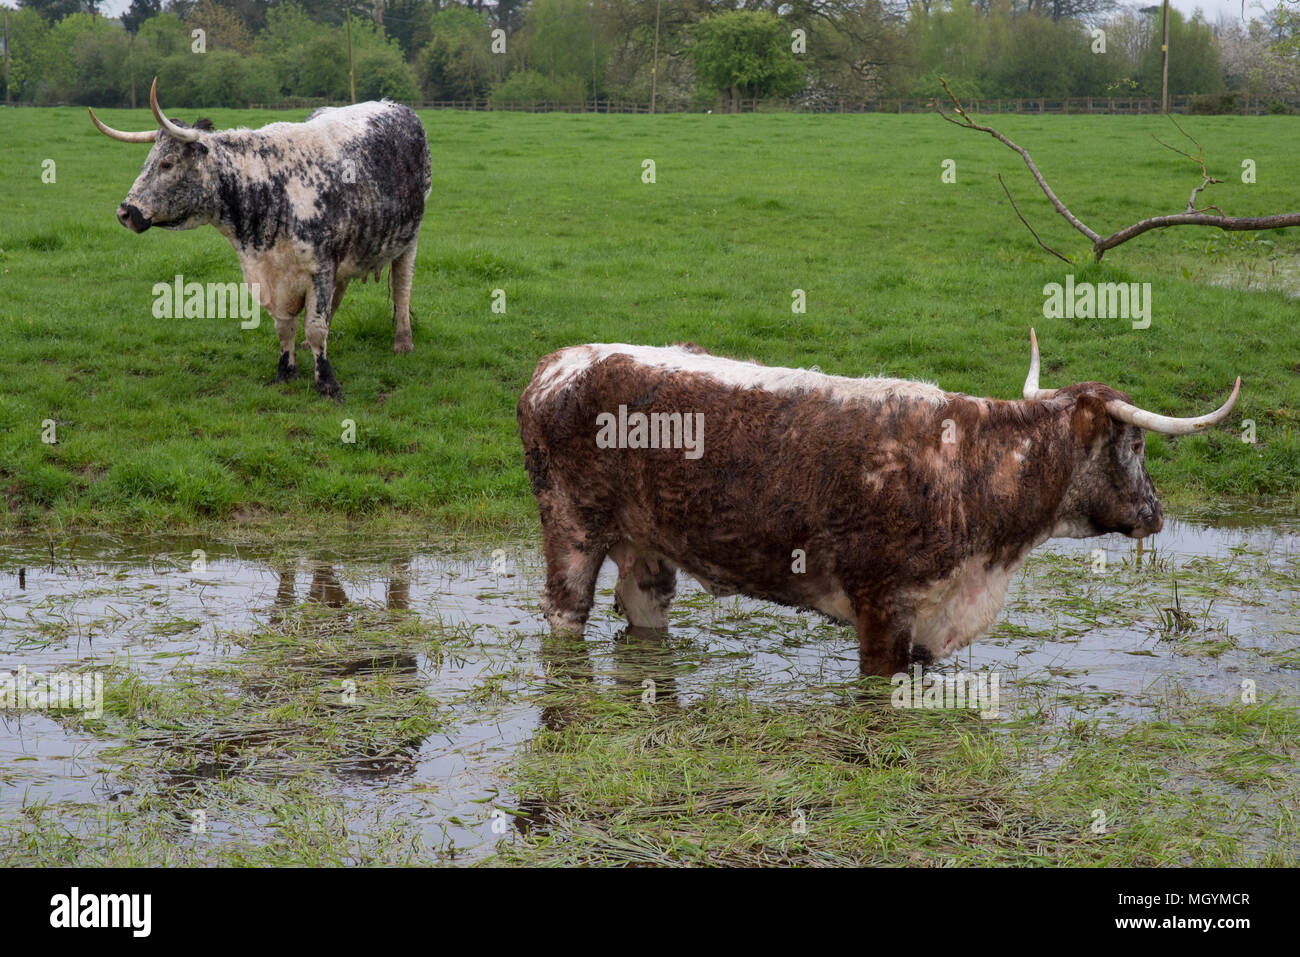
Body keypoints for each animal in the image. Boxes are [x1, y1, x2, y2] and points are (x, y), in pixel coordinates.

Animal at [89, 79, 432, 399]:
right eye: (149, 160)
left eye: (166, 163)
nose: (125, 212)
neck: (271, 190)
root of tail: (393, 105)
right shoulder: (271, 275)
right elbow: (285, 325)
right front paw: (286, 370)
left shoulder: (320, 268)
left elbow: (316, 326)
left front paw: (327, 382)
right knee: (340, 293)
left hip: (410, 238)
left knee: (402, 288)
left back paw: (403, 342)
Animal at [517, 332, 1241, 676]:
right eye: (1137, 443)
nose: (1156, 512)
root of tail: (561, 362)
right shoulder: (882, 610)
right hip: (571, 531)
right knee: (565, 616)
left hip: (646, 549)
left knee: (643, 612)